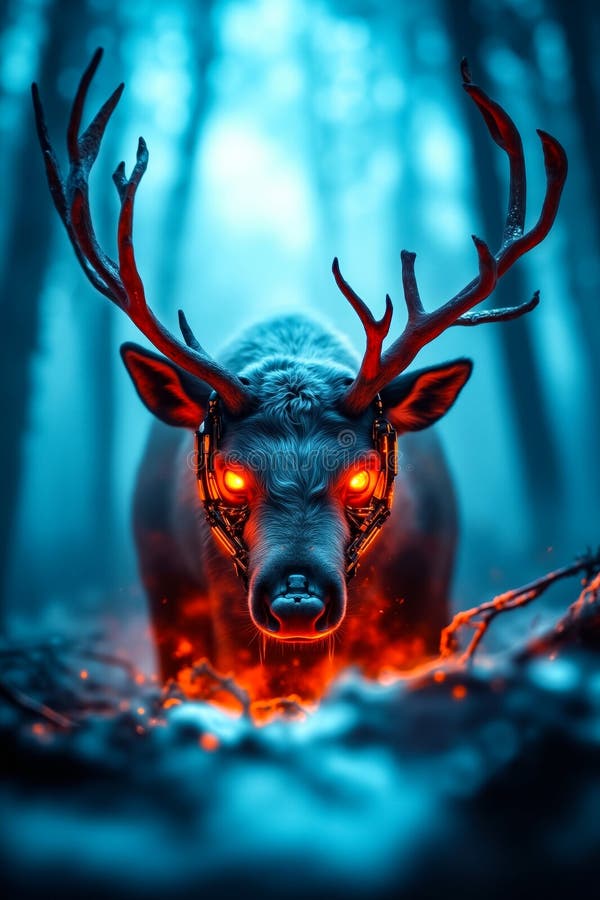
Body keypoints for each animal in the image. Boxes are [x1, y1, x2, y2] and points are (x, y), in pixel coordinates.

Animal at [32, 50, 567, 701]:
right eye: (231, 475)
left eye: (362, 475)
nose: (296, 601)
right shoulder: (226, 622)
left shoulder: (427, 604)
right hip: (167, 601)